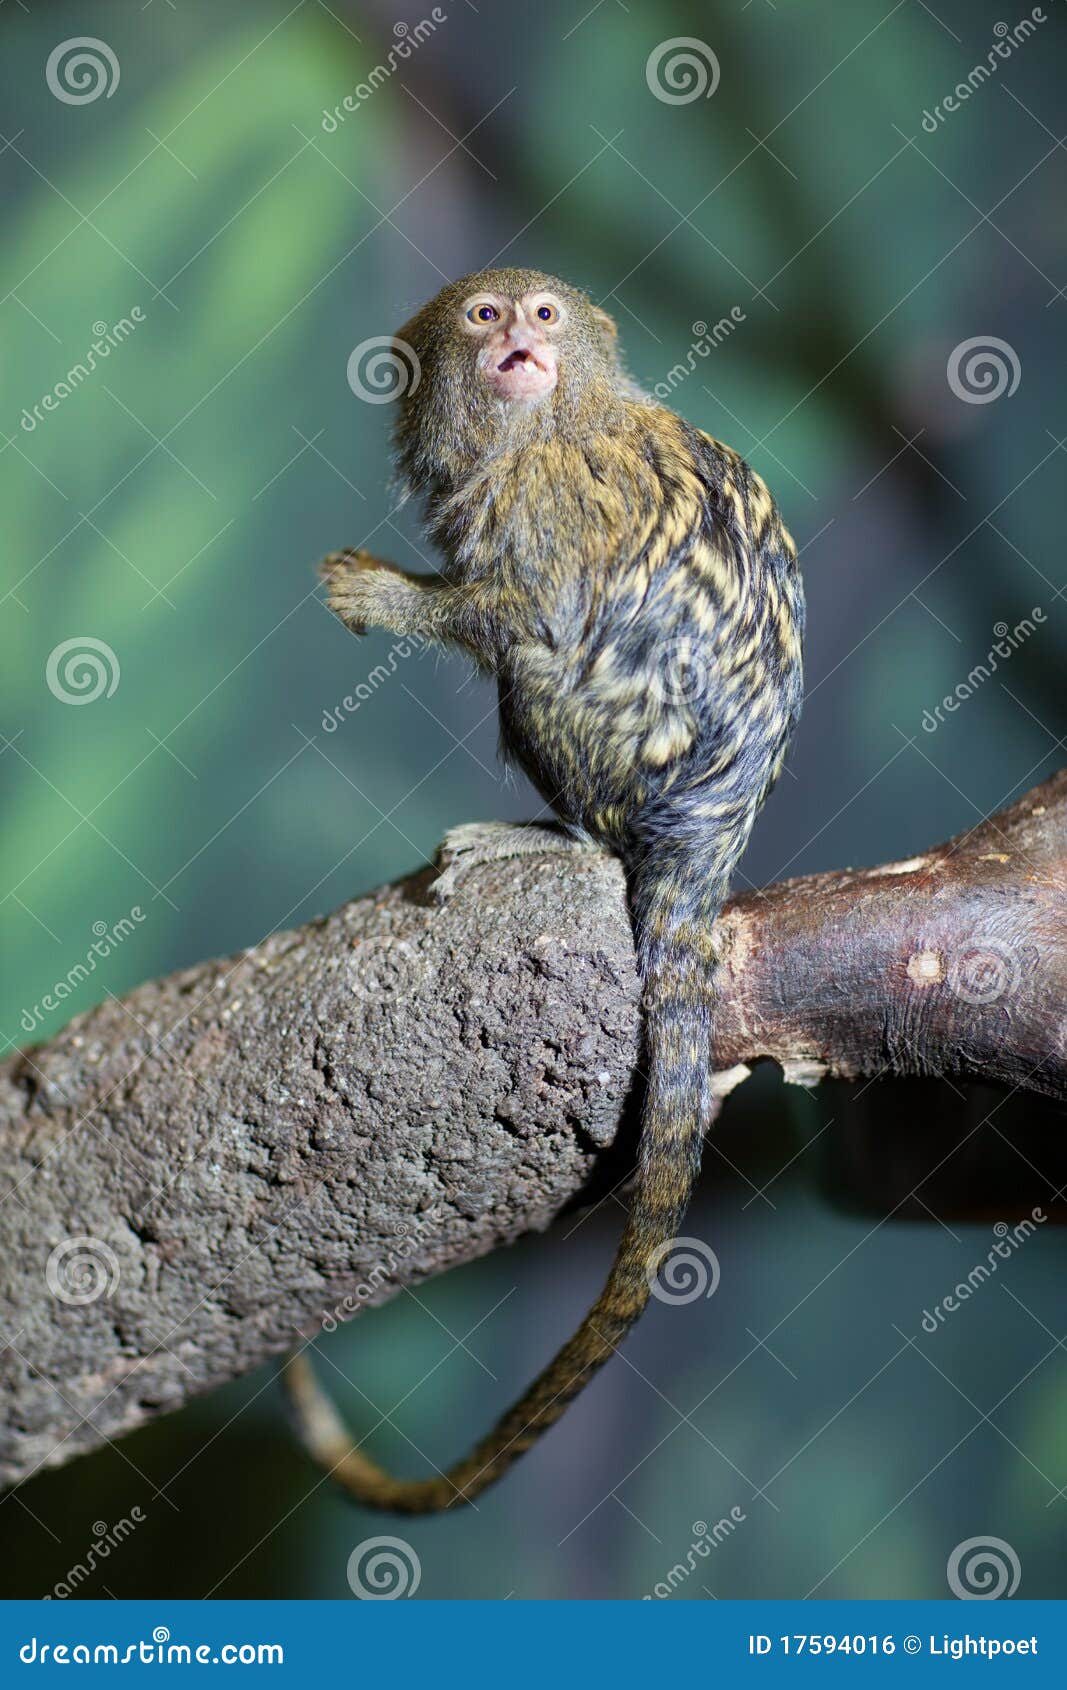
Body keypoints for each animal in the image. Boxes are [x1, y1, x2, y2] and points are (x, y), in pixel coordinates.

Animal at [283, 267, 805, 1513]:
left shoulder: (543, 502)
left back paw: (564, 842)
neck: (546, 425)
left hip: (619, 743)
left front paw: (386, 597)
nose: (518, 335)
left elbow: (526, 616)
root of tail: (711, 827)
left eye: (544, 315)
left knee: (540, 674)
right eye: (483, 318)